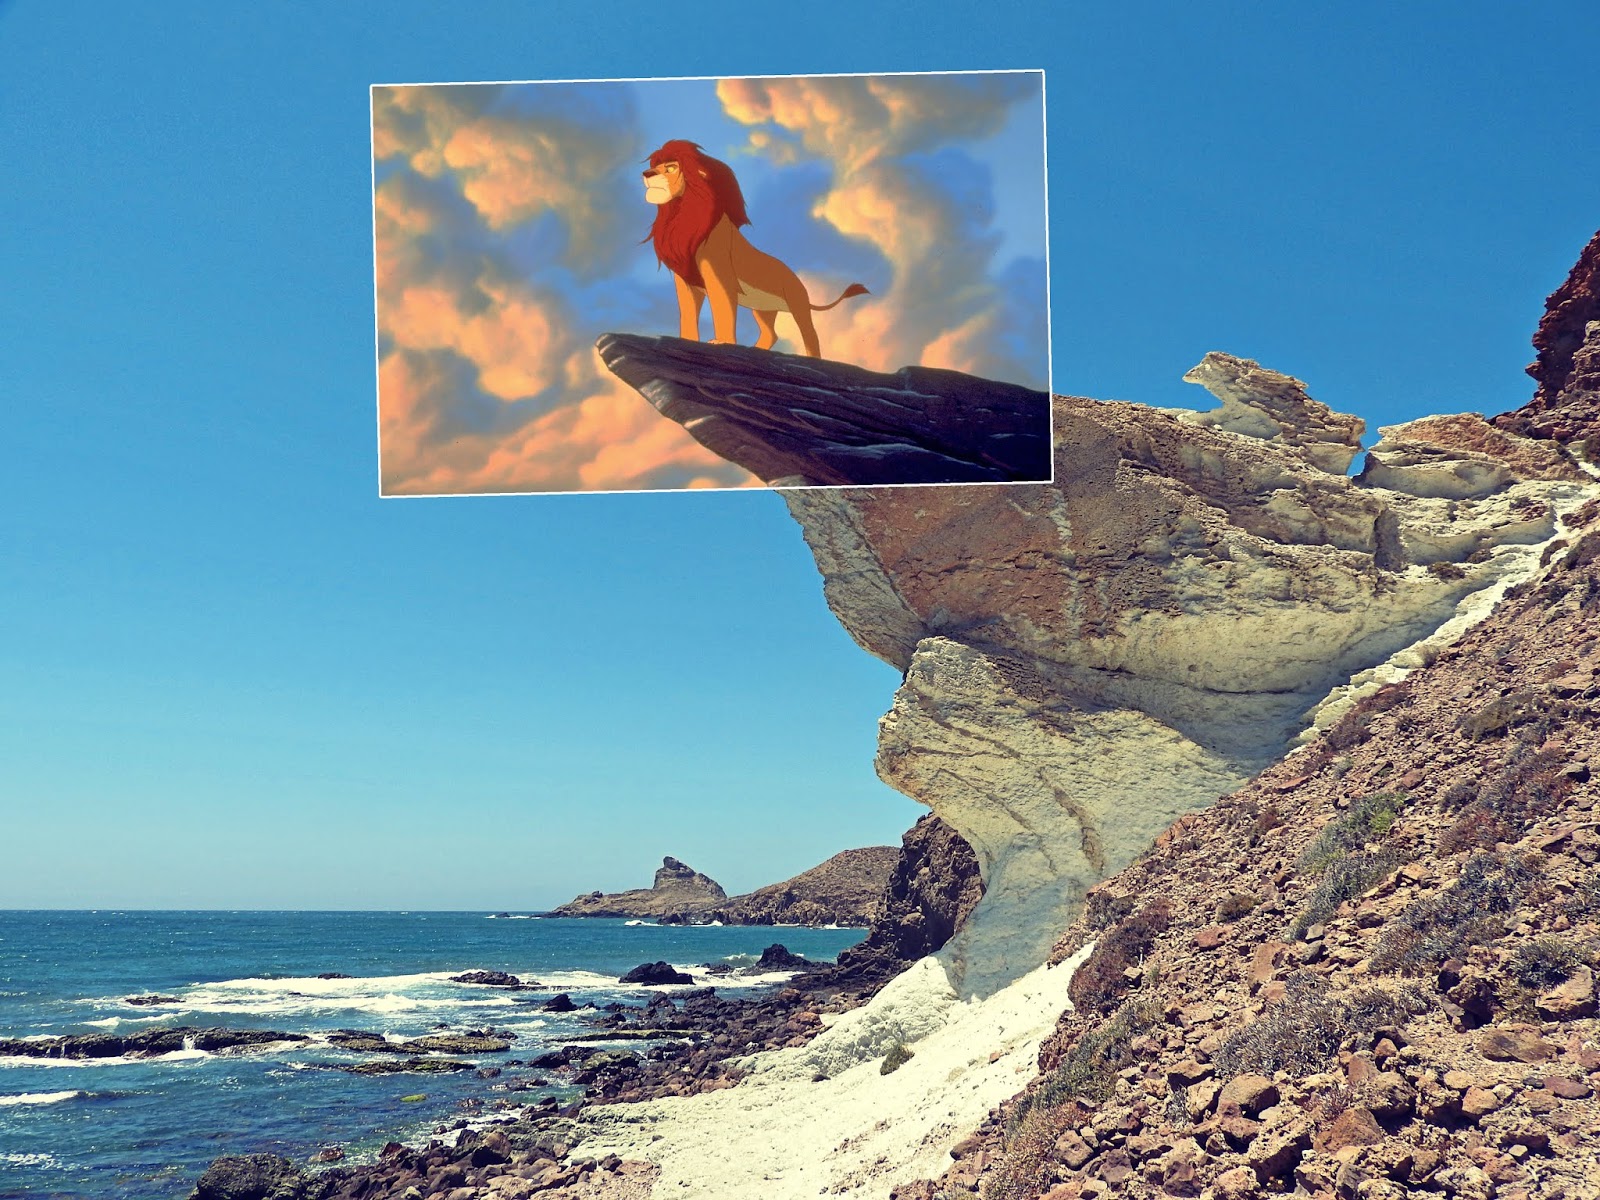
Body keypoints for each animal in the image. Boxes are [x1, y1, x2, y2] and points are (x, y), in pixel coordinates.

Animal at [642, 139, 867, 359]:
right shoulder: (686, 280)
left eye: (671, 168)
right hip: (763, 309)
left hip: (798, 304)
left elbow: (722, 307)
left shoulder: (719, 273)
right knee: (771, 334)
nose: (647, 173)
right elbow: (688, 312)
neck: (681, 214)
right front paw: (687, 339)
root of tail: (797, 280)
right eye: (655, 165)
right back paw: (756, 349)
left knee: (810, 334)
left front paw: (722, 341)